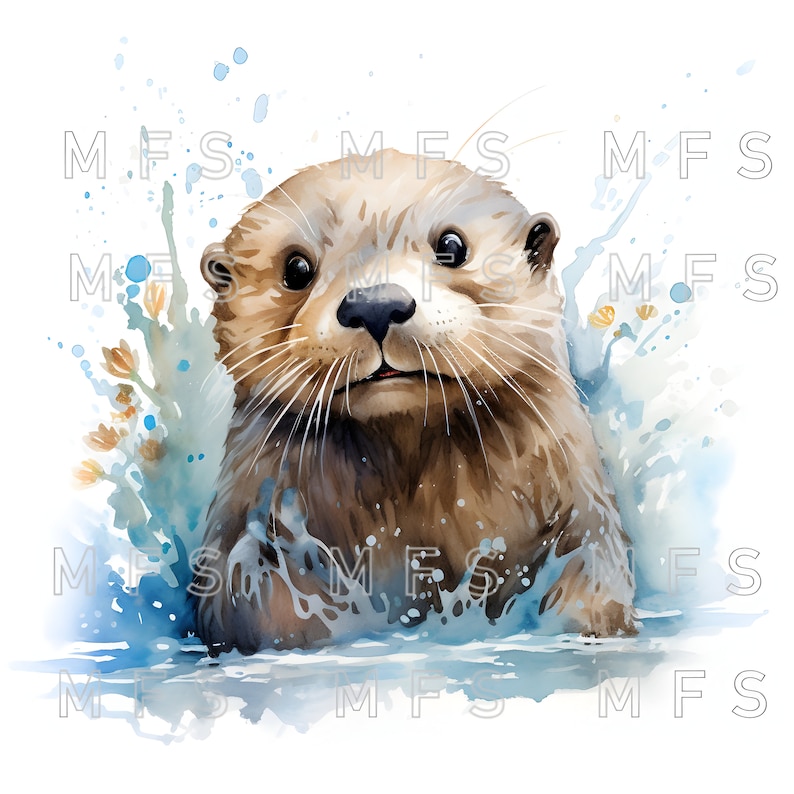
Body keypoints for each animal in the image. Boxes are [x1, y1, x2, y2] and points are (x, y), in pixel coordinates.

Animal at [194, 148, 636, 656]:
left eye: (452, 245)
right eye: (297, 269)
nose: (374, 305)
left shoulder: (581, 503)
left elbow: (591, 578)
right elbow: (248, 593)